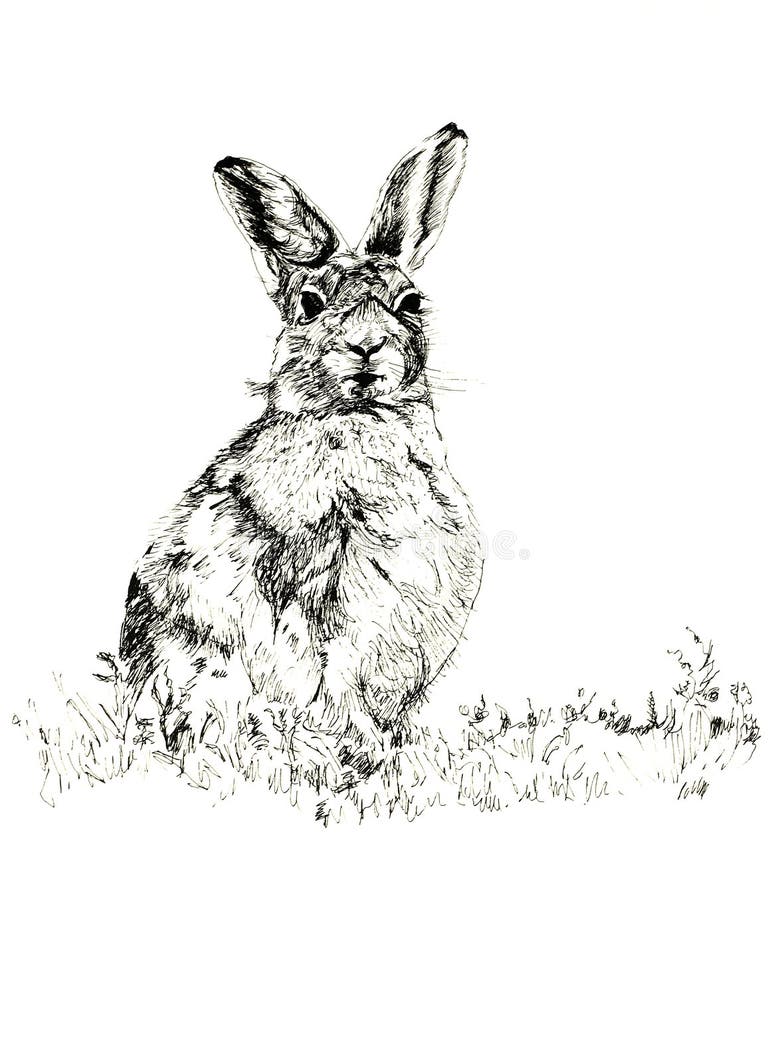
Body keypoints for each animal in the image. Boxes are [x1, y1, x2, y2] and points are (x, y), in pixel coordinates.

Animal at [119, 123, 483, 787]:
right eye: (309, 304)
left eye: (411, 303)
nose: (366, 348)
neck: (357, 422)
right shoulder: (319, 611)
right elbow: (328, 689)